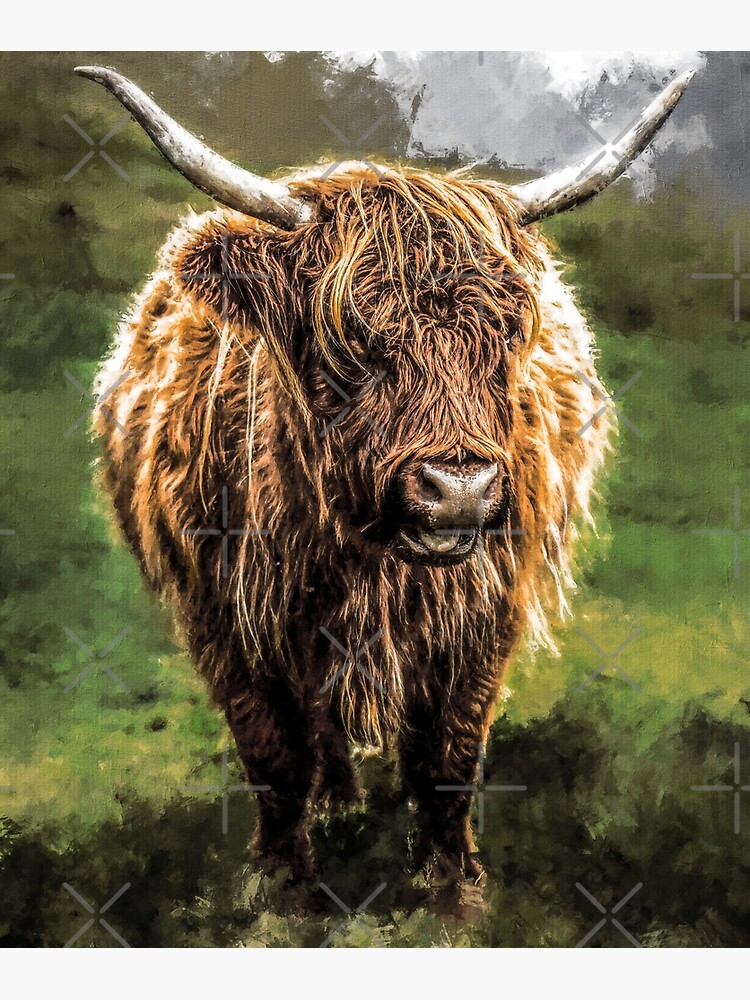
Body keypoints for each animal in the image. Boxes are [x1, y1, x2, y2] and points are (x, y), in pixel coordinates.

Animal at [77, 65, 694, 901]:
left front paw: (450, 889)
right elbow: (273, 754)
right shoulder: (223, 615)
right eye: (352, 339)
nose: (458, 488)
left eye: (505, 333)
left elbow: (449, 754)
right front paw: (281, 886)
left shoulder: (486, 606)